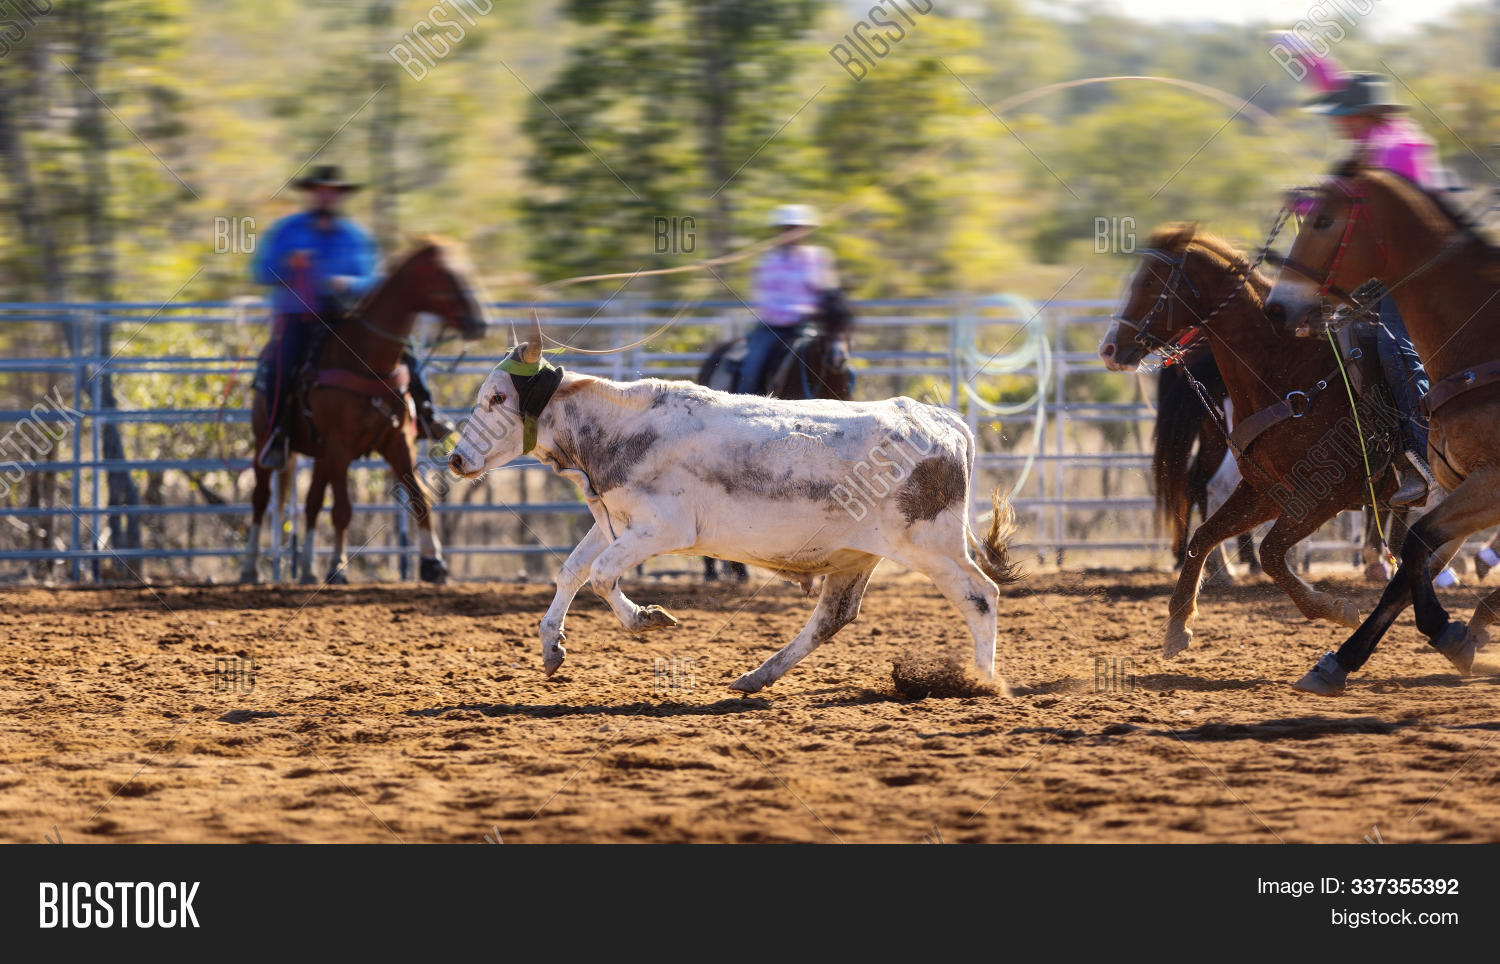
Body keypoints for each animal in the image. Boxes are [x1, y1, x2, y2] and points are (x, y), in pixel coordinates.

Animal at [447, 316, 1021, 694]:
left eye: (497, 398)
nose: (455, 459)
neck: (622, 427)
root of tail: (944, 422)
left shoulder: (661, 530)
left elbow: (603, 576)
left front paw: (648, 619)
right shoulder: (615, 524)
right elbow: (571, 572)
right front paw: (551, 647)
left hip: (932, 545)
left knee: (980, 596)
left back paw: (983, 681)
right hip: (858, 556)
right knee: (832, 617)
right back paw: (757, 676)